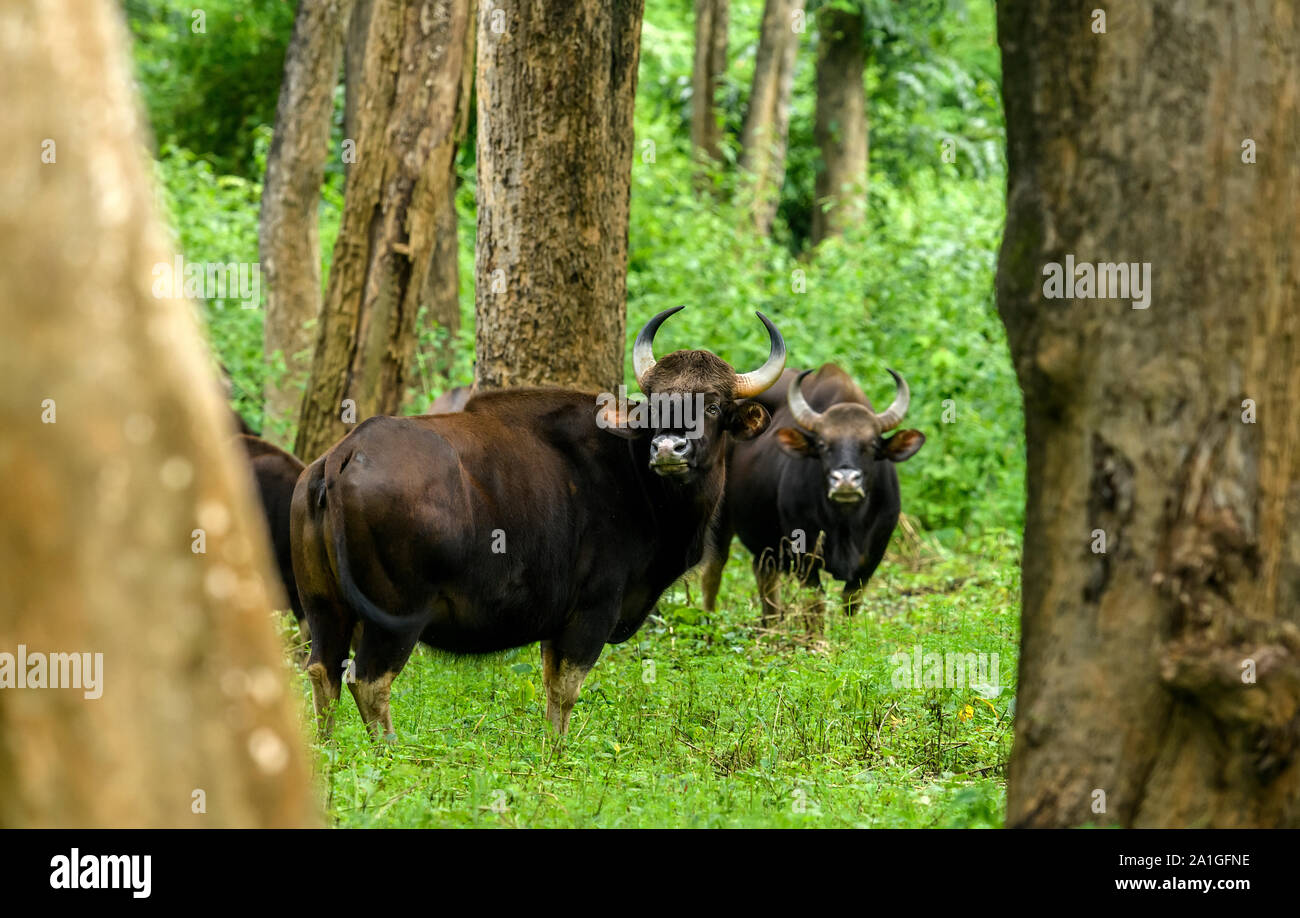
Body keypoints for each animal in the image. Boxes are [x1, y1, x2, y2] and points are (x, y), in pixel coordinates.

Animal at [291, 308, 786, 739]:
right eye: (655, 406)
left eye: (714, 407)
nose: (667, 449)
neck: (637, 480)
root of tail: (343, 455)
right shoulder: (592, 611)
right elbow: (566, 691)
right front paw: (559, 754)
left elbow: (550, 688)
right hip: (394, 616)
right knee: (368, 681)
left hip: (323, 606)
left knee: (322, 672)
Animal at [702, 363, 924, 626]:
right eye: (822, 445)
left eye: (871, 446)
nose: (845, 481)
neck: (845, 524)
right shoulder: (804, 555)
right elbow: (814, 606)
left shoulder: (871, 559)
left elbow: (851, 603)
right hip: (720, 520)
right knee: (713, 571)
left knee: (764, 574)